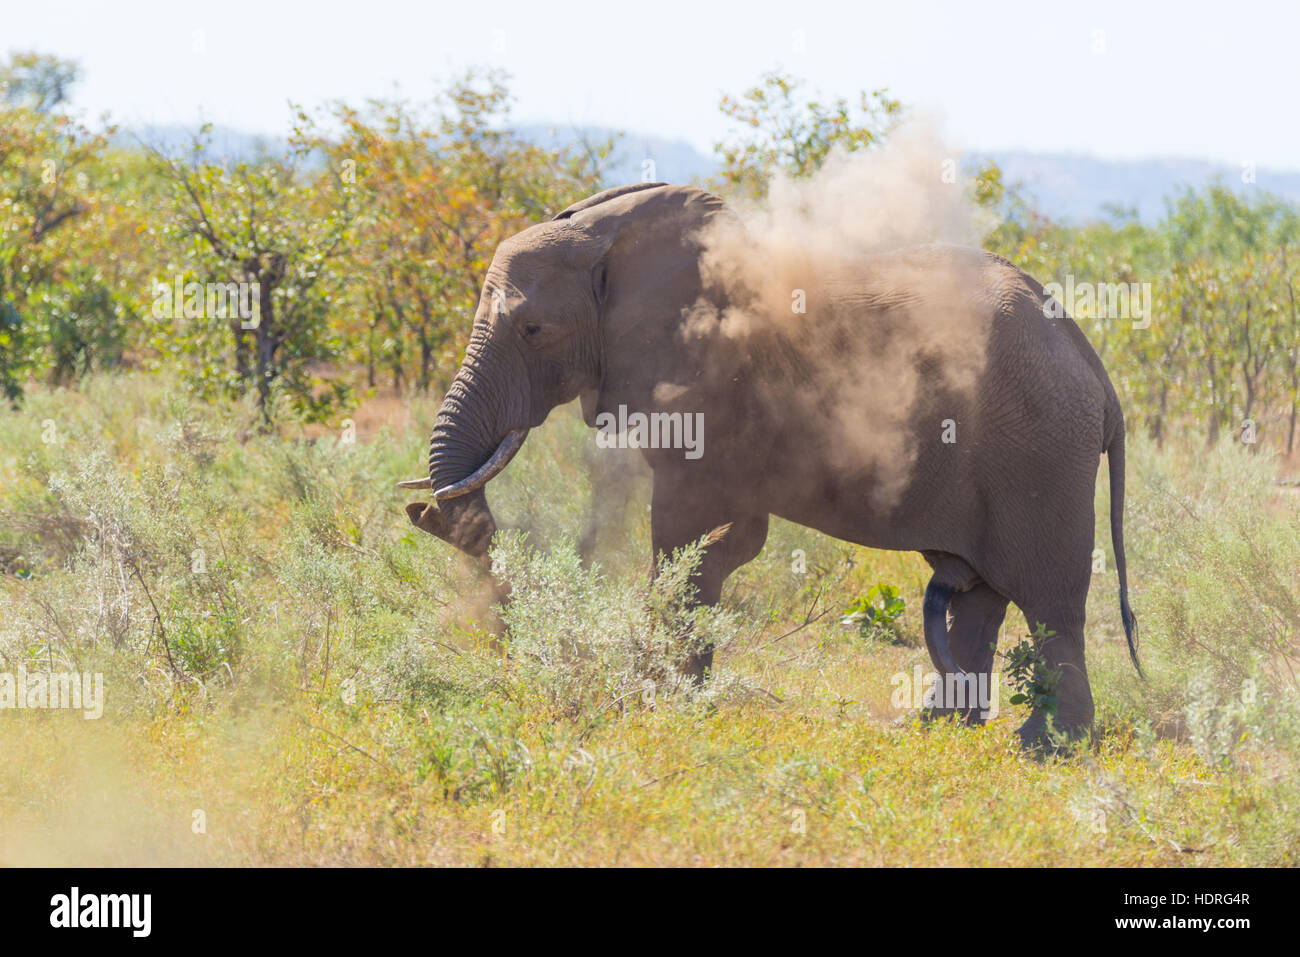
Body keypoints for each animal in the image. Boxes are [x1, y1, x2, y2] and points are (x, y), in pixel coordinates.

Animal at [400, 181, 1140, 749]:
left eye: (533, 331)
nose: (422, 507)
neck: (607, 238)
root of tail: (1094, 368)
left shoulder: (699, 394)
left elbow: (680, 531)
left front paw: (655, 694)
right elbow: (725, 539)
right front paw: (685, 685)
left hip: (1039, 451)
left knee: (1048, 600)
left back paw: (1046, 747)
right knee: (983, 595)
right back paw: (938, 728)